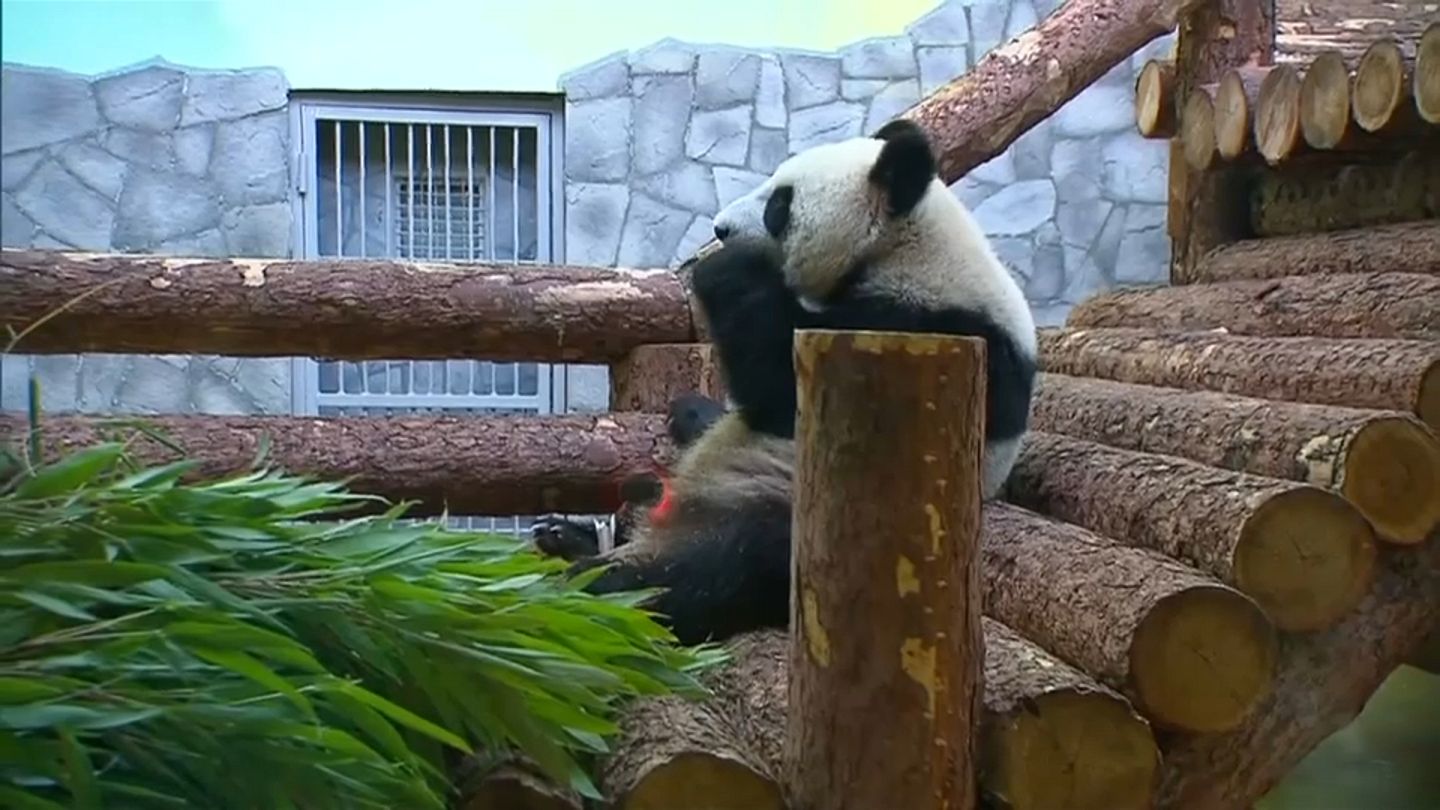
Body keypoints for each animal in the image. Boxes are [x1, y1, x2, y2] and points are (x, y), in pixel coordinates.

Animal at [536, 118, 1037, 646]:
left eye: (779, 204)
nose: (720, 229)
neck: (911, 247)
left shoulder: (924, 329)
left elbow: (783, 385)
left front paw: (724, 267)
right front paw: (691, 410)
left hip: (798, 512)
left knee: (714, 567)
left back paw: (596, 583)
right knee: (643, 497)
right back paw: (571, 537)